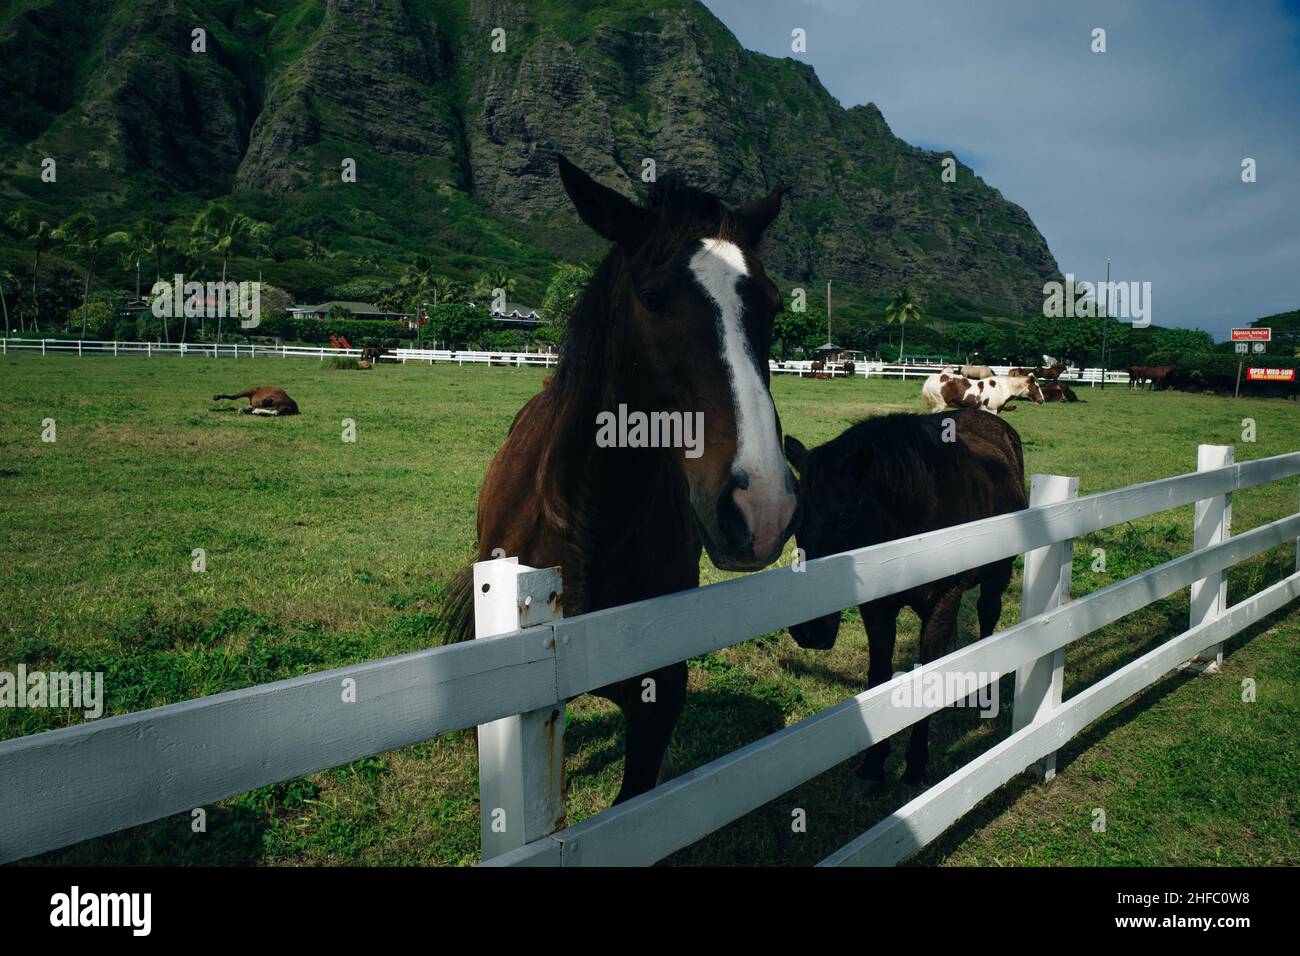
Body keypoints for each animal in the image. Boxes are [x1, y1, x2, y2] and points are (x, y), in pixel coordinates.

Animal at [783, 409, 1027, 792]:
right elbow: (879, 676)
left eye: (846, 517)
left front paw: (914, 766)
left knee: (988, 616)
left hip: (998, 573)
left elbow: (928, 678)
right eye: (798, 523)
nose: (810, 631)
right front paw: (873, 765)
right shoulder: (877, 608)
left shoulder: (943, 600)